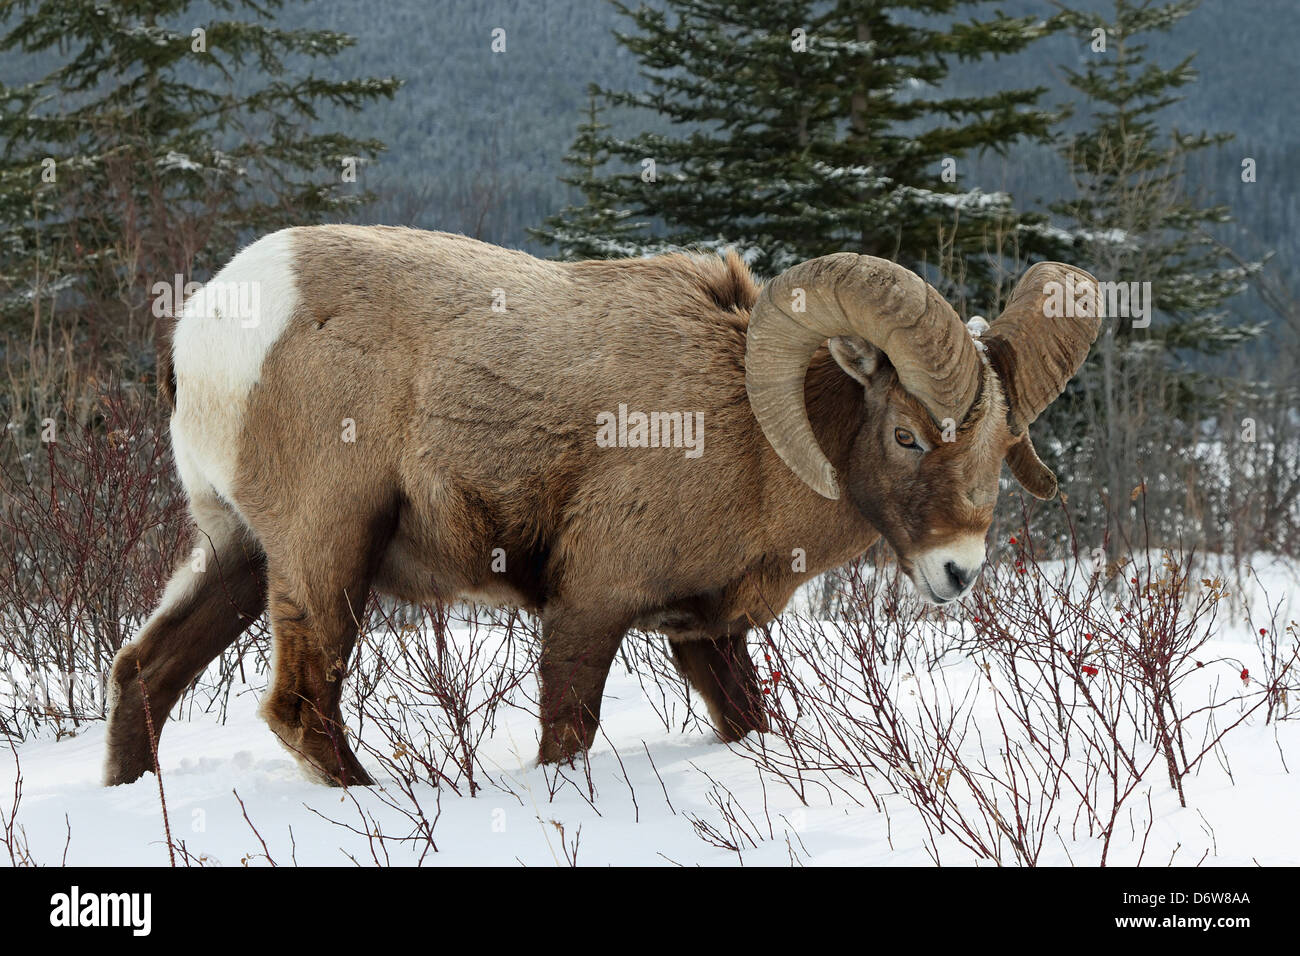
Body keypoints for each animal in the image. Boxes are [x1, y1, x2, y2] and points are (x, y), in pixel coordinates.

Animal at [104, 225, 1100, 786]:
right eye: (905, 435)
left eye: (1000, 450)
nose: (957, 571)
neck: (747, 438)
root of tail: (208, 331)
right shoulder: (592, 605)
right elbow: (567, 734)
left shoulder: (706, 634)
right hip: (329, 551)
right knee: (301, 707)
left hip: (236, 554)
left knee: (144, 671)